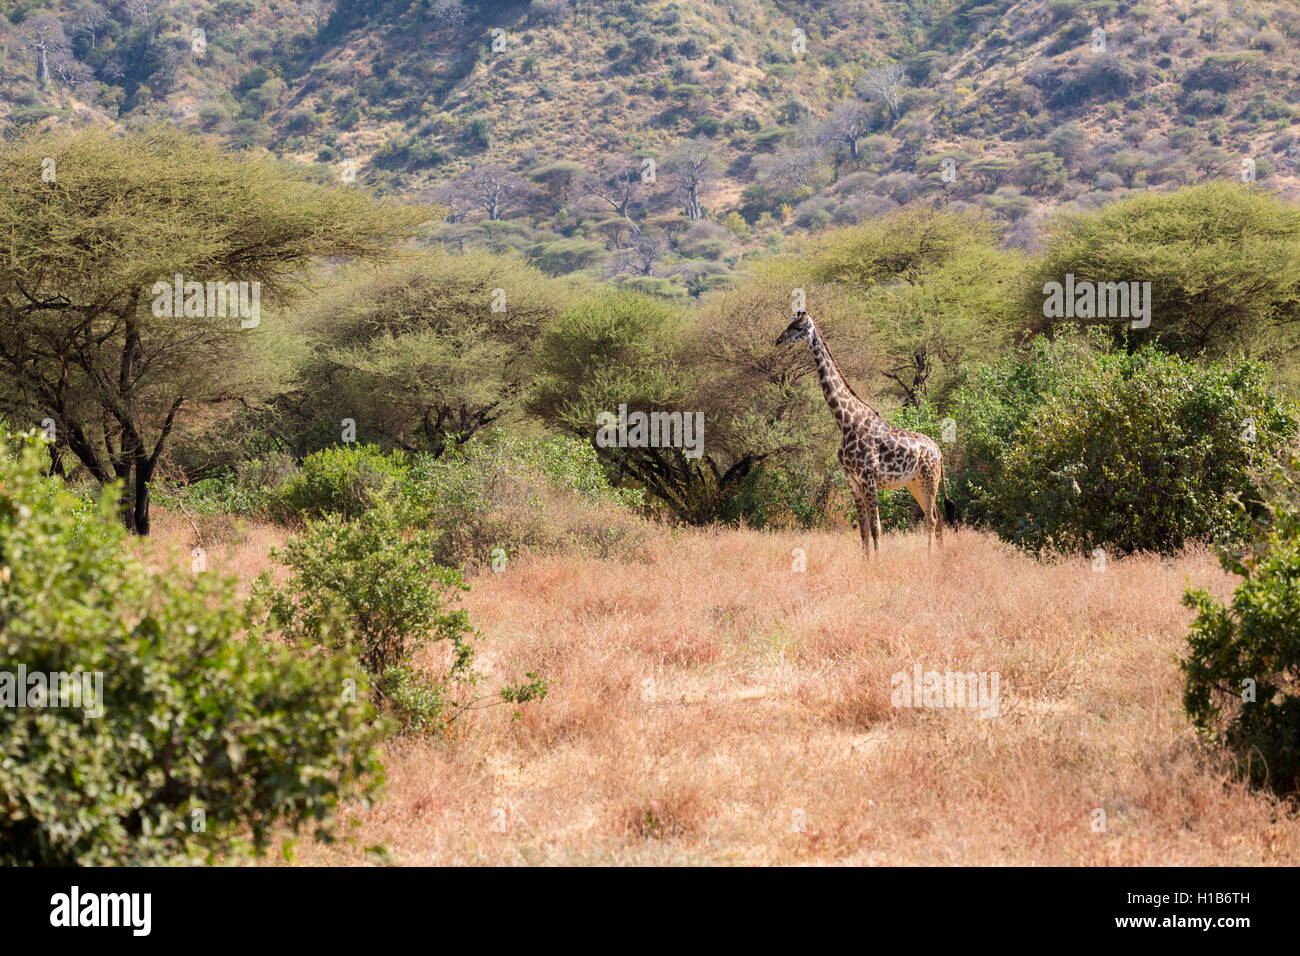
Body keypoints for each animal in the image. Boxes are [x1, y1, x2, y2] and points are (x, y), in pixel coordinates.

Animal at [776, 311, 953, 557]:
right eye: (789, 324)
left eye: (799, 327)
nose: (778, 340)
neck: (846, 422)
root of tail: (940, 452)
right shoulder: (852, 480)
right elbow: (863, 530)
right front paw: (866, 561)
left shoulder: (869, 478)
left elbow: (876, 527)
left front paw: (877, 562)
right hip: (915, 483)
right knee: (938, 517)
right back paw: (939, 555)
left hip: (930, 480)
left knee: (932, 519)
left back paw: (929, 556)